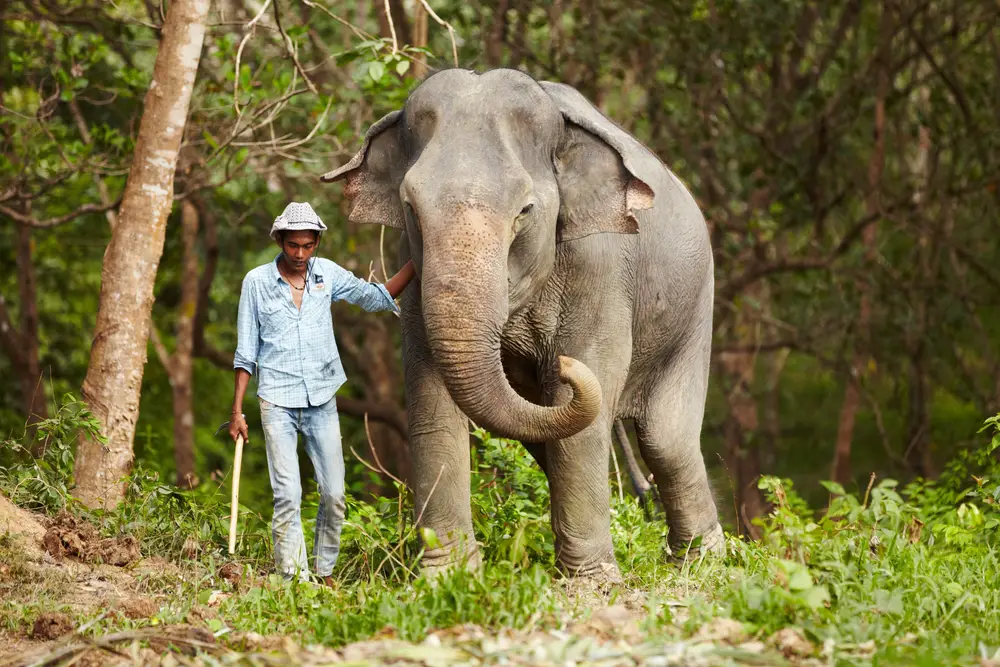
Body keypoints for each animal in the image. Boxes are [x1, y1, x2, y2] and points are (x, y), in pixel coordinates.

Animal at [321, 67, 723, 579]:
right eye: (410, 207)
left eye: (525, 212)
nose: (564, 370)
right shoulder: (412, 268)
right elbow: (432, 400)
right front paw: (446, 577)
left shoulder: (601, 267)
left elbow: (584, 411)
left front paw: (591, 584)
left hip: (695, 311)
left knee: (665, 440)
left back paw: (703, 563)